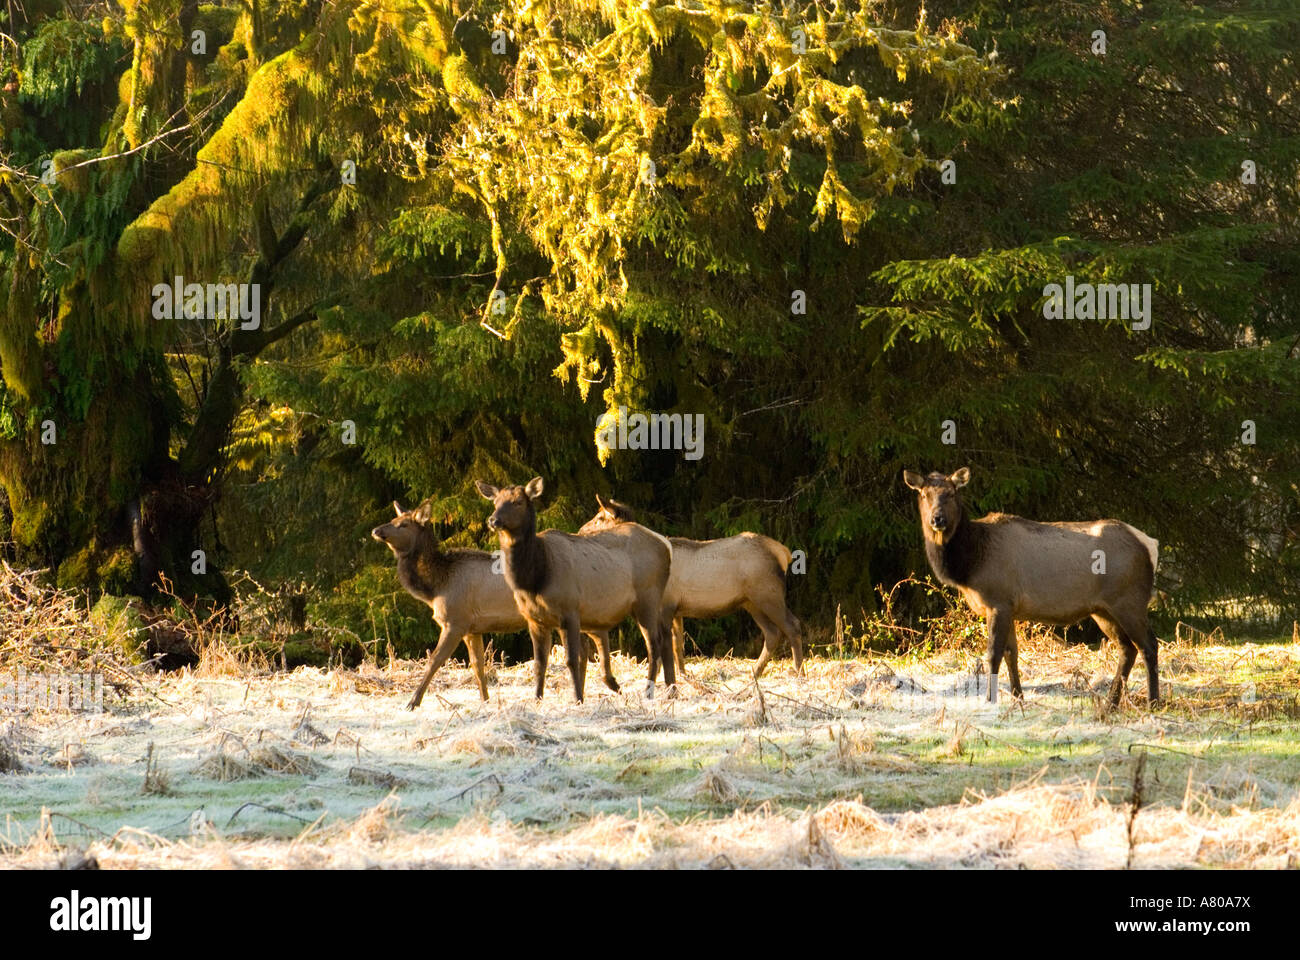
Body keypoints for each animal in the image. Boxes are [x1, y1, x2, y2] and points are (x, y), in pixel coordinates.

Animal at [372, 500, 621, 710]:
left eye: (403, 524)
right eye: (393, 519)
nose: (376, 530)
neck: (436, 586)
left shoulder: (455, 620)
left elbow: (435, 660)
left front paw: (413, 702)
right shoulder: (472, 628)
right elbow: (478, 665)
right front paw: (485, 700)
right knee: (587, 647)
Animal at [476, 477, 676, 701]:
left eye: (518, 502)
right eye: (495, 502)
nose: (493, 520)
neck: (534, 580)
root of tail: (666, 545)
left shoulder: (569, 610)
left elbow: (572, 660)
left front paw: (578, 698)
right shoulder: (534, 619)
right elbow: (539, 664)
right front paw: (537, 698)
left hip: (648, 598)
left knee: (654, 645)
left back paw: (648, 693)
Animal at [578, 496, 803, 679]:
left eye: (599, 518)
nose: (579, 530)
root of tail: (784, 552)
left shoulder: (663, 605)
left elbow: (662, 642)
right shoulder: (676, 610)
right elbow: (678, 644)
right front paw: (682, 674)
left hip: (768, 593)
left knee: (792, 625)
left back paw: (797, 670)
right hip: (751, 601)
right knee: (772, 633)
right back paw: (755, 672)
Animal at [903, 467, 1160, 706]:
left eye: (951, 493)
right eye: (924, 494)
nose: (937, 519)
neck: (970, 564)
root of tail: (1151, 544)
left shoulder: (998, 601)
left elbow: (993, 654)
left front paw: (990, 700)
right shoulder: (1009, 607)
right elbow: (1012, 654)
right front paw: (1018, 698)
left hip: (1129, 600)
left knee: (1149, 645)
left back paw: (1153, 701)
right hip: (1103, 610)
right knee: (1128, 649)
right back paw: (1111, 702)